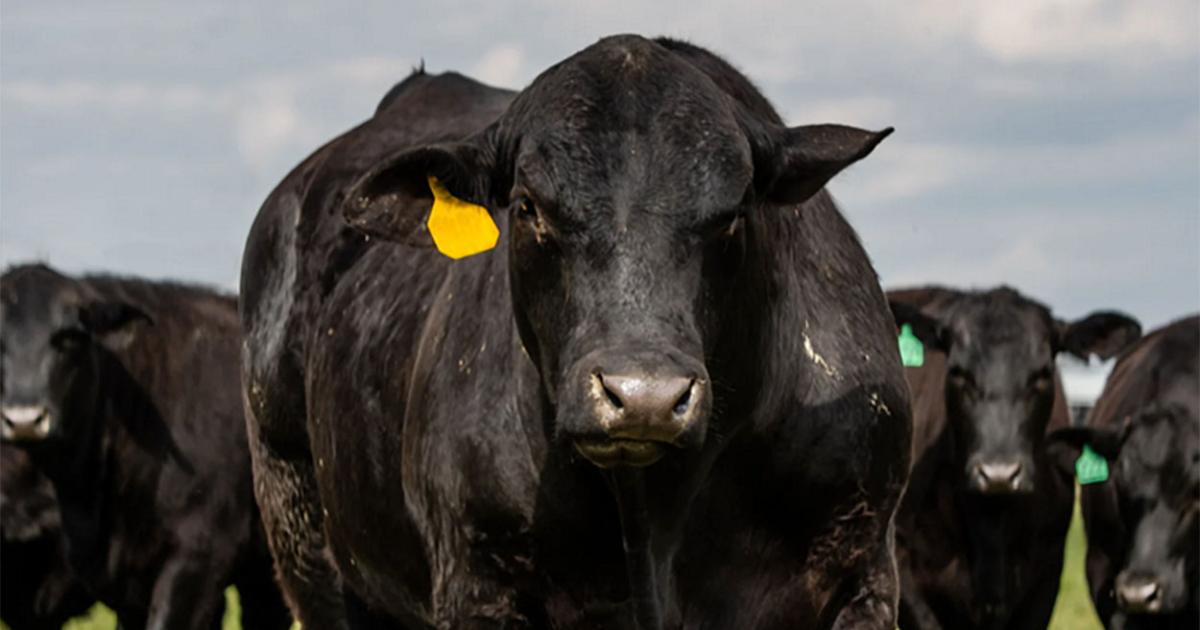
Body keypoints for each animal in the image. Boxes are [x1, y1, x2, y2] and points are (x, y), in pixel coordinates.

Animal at [240, 34, 911, 629]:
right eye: (528, 206)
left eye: (734, 212)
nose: (644, 397)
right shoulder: (477, 584)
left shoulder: (864, 575)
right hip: (303, 539)